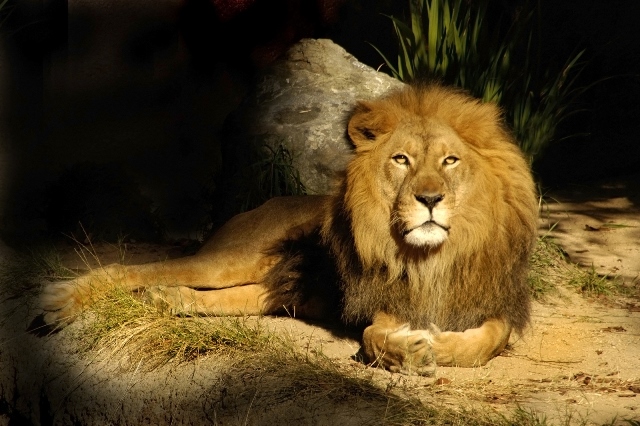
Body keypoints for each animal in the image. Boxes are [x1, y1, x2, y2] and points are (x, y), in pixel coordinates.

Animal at [40, 84, 538, 374]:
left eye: (450, 160)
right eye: (402, 160)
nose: (430, 199)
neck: (433, 257)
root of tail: (266, 201)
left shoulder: (494, 302)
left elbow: (488, 341)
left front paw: (442, 345)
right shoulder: (383, 304)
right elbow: (374, 339)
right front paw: (413, 351)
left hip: (271, 289)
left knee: (212, 296)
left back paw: (166, 300)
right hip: (229, 259)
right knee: (130, 269)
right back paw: (60, 303)